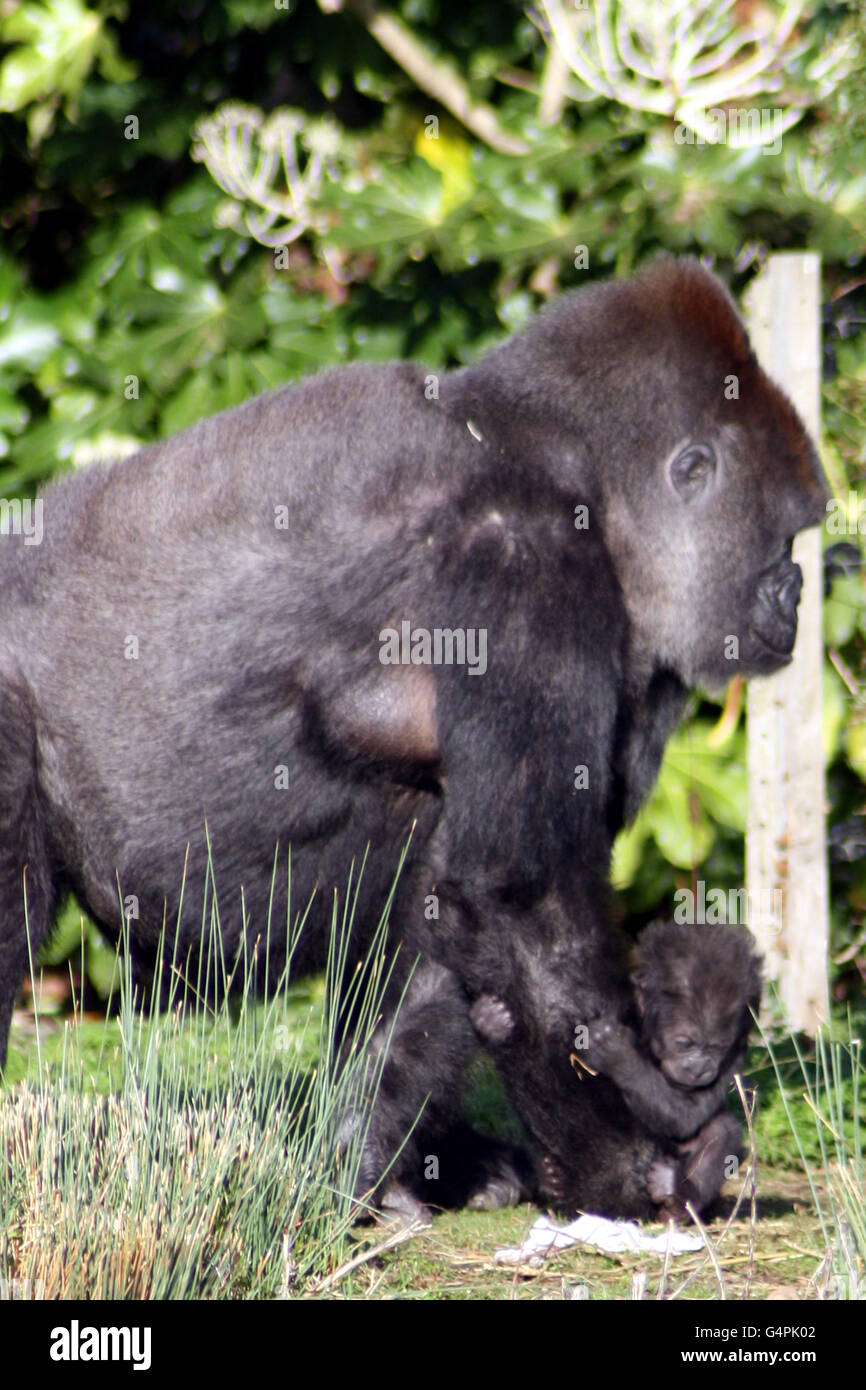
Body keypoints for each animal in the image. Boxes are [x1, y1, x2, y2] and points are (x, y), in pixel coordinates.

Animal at [0, 257, 827, 1210]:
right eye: (786, 534)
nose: (798, 591)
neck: (561, 461)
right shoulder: (530, 562)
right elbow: (520, 896)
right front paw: (620, 1171)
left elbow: (449, 909)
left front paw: (359, 1149)